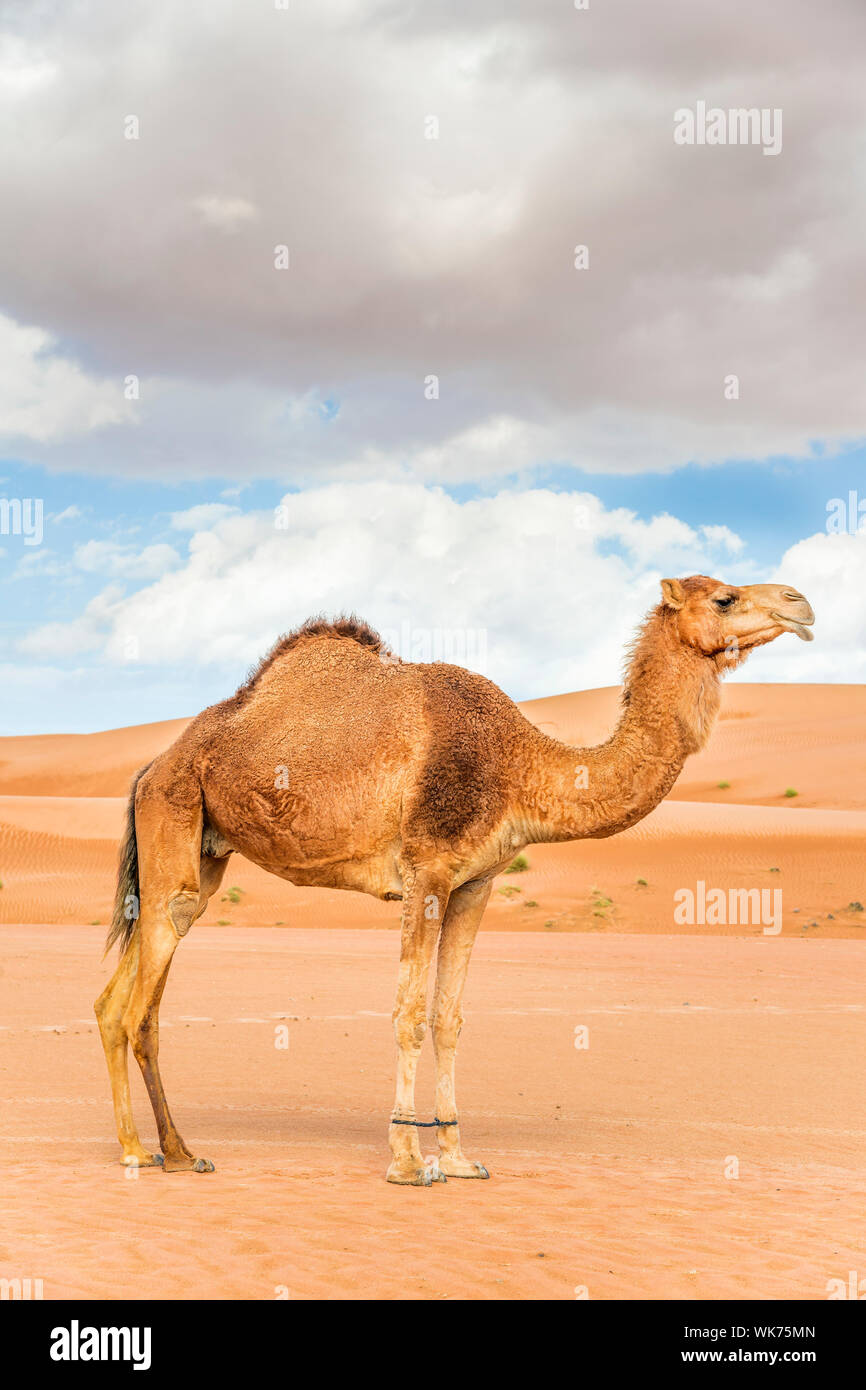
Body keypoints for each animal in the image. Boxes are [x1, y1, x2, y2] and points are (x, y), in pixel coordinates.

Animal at [95, 575, 814, 1185]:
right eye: (724, 597)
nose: (801, 605)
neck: (521, 765)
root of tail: (150, 767)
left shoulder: (477, 882)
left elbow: (449, 1017)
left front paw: (460, 1158)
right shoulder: (429, 870)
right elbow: (410, 1013)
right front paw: (409, 1161)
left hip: (201, 848)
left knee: (123, 997)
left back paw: (170, 1150)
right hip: (174, 815)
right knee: (142, 995)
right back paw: (143, 1151)